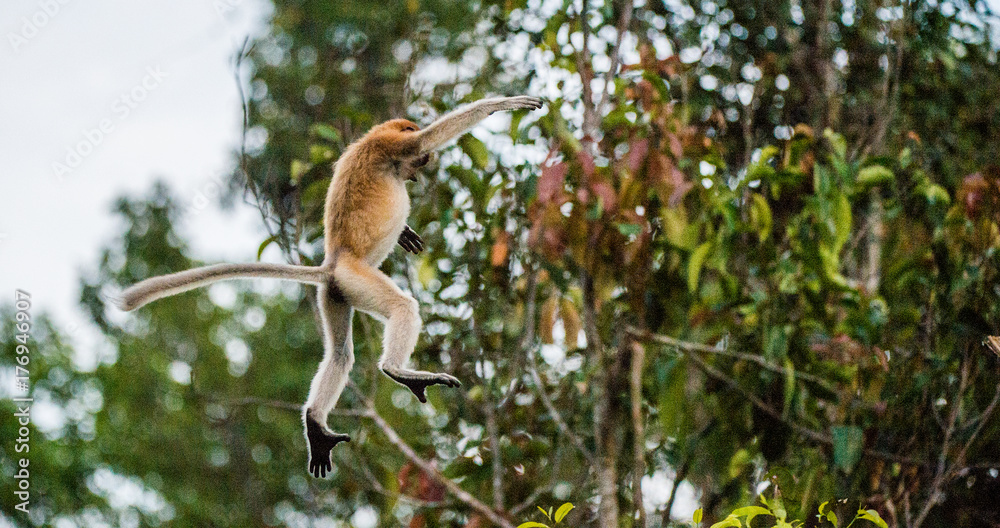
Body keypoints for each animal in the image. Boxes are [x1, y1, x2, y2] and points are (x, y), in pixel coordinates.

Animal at [110, 95, 545, 478]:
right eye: (419, 163)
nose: (416, 175)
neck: (369, 138)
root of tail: (332, 264)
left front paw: (405, 233)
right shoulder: (392, 147)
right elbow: (431, 135)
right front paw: (506, 103)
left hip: (336, 294)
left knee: (338, 355)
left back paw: (316, 425)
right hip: (358, 279)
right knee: (401, 310)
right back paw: (398, 371)